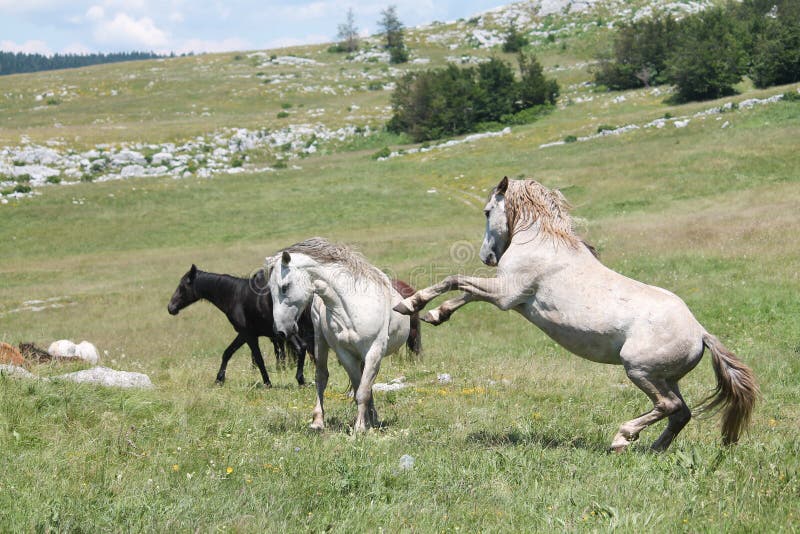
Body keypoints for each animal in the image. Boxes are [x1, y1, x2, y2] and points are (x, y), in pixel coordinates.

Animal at [167, 264, 314, 386]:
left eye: (182, 287)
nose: (170, 308)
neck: (234, 296)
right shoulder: (244, 335)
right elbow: (228, 353)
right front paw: (219, 380)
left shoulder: (248, 335)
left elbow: (258, 359)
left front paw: (267, 383)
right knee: (304, 347)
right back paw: (302, 380)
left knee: (301, 347)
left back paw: (300, 380)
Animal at [266, 237, 411, 432]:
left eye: (284, 287)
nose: (280, 330)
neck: (352, 306)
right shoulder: (345, 354)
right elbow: (358, 389)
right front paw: (362, 424)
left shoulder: (374, 352)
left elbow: (363, 390)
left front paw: (360, 427)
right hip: (320, 342)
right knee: (321, 377)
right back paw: (318, 421)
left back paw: (372, 419)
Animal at [394, 176, 758, 452]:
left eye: (486, 211)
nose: (488, 257)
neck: (542, 243)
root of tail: (700, 333)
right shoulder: (507, 294)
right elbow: (465, 292)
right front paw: (435, 314)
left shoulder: (507, 295)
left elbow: (454, 280)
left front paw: (410, 305)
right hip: (665, 377)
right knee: (680, 413)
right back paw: (654, 449)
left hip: (639, 369)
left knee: (668, 407)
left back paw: (622, 439)